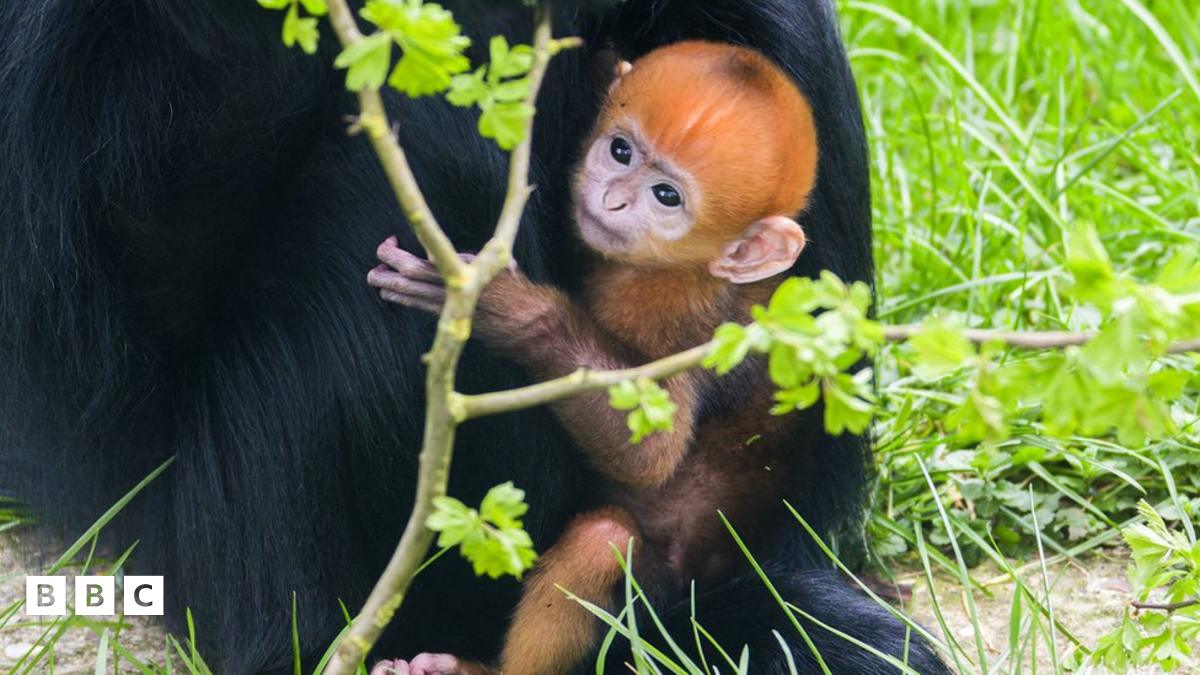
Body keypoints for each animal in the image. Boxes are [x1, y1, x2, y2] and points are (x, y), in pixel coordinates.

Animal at [368, 41, 826, 675]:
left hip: (655, 606)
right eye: (620, 151)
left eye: (667, 196)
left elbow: (651, 452)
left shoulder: (675, 312)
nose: (611, 199)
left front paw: (500, 305)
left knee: (602, 540)